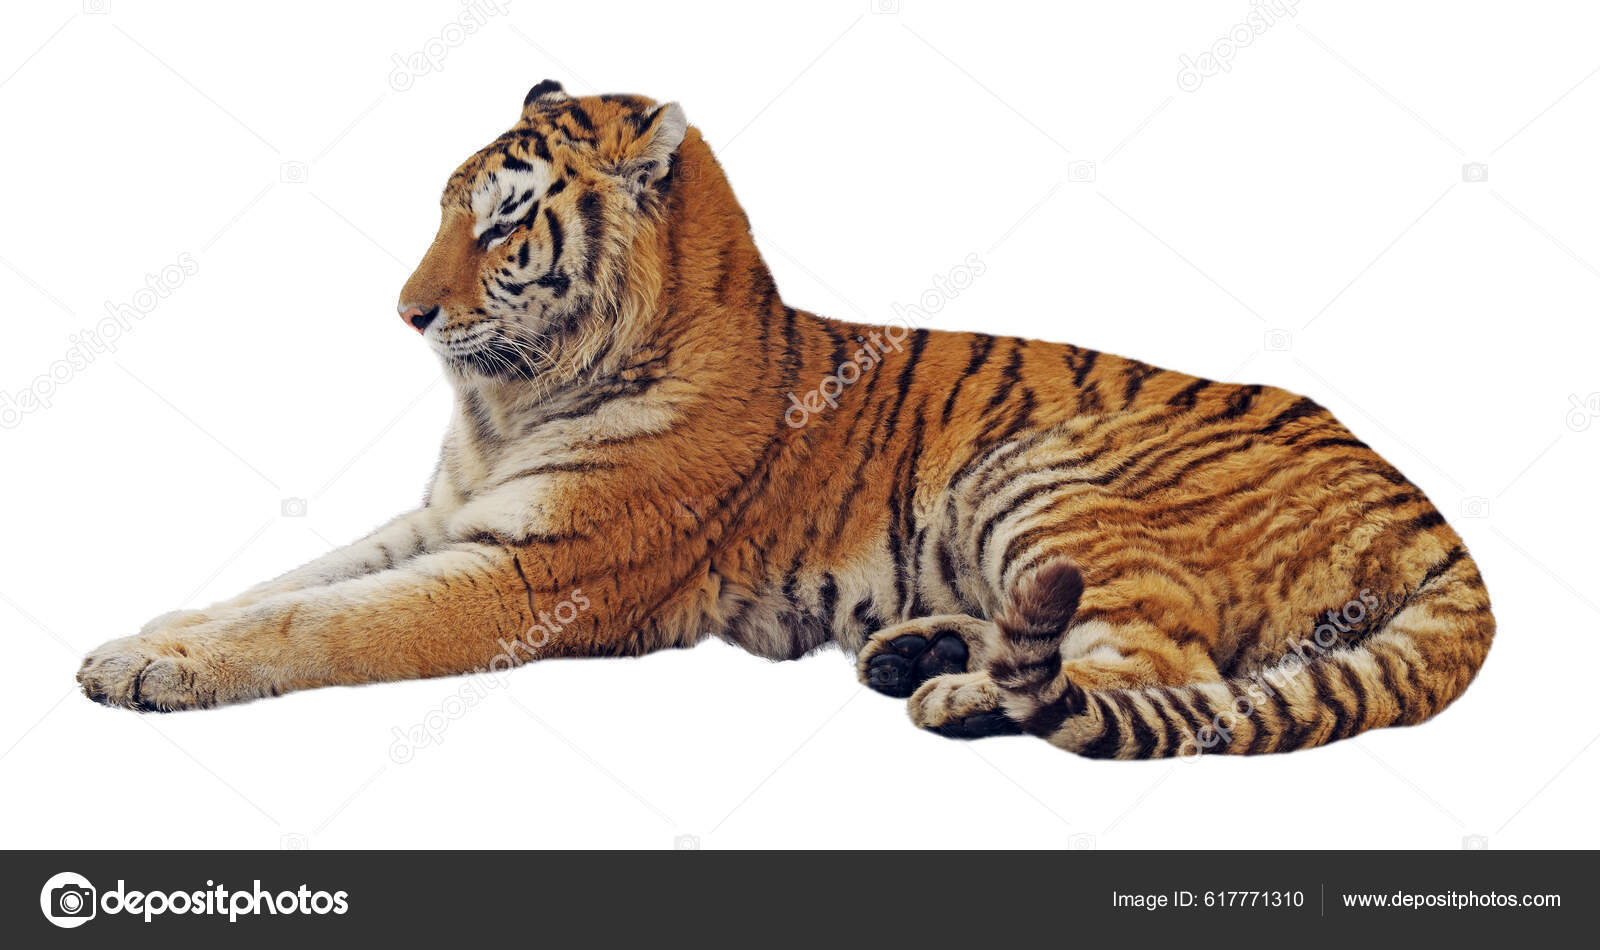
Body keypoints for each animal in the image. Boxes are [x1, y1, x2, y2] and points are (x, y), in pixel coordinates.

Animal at [77, 80, 1494, 758]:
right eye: (441, 210)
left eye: (502, 221)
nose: (406, 311)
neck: (508, 399)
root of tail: (1428, 511)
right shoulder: (444, 518)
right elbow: (291, 581)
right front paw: (150, 633)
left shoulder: (536, 572)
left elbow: (332, 621)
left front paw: (159, 668)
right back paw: (919, 652)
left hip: (1043, 472)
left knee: (1166, 671)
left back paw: (956, 695)